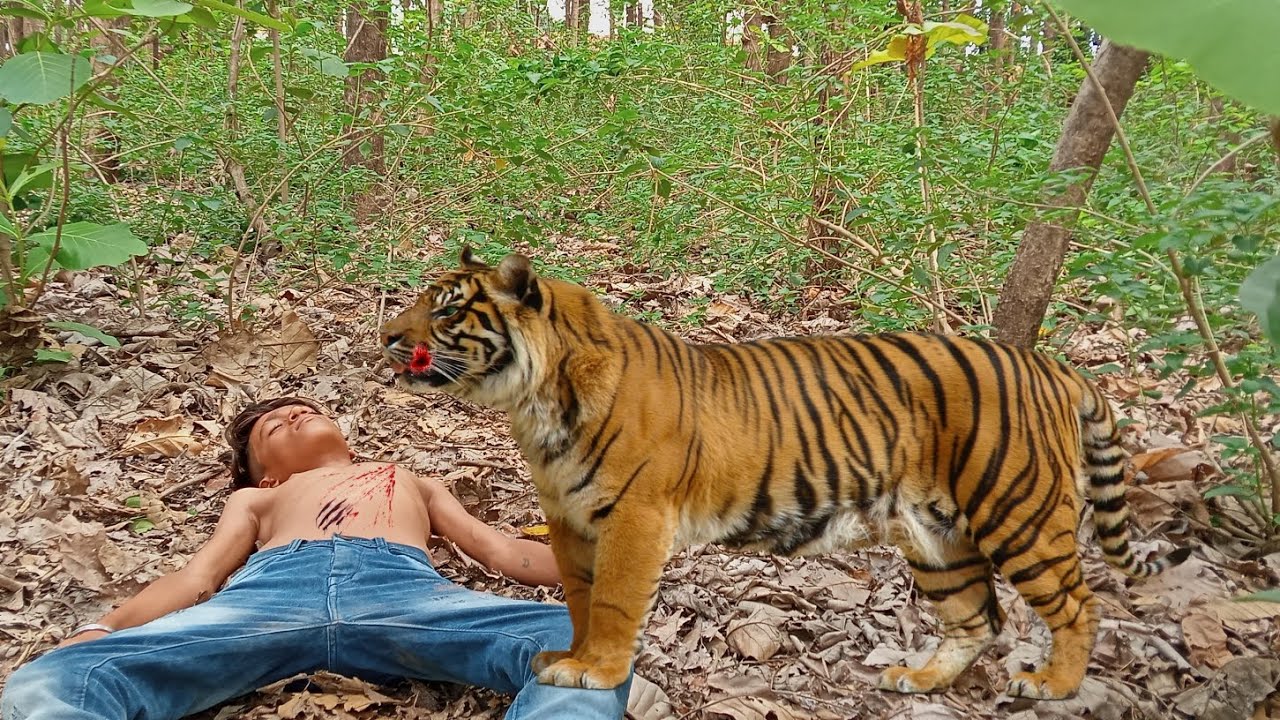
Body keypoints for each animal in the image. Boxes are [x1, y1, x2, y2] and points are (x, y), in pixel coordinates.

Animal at [380, 248, 1189, 701]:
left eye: (446, 311)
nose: (386, 336)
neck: (534, 401)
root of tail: (1053, 365)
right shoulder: (569, 519)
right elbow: (579, 599)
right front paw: (573, 657)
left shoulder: (635, 517)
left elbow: (611, 602)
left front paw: (596, 672)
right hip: (936, 537)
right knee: (978, 617)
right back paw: (919, 681)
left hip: (1017, 513)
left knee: (1079, 605)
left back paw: (1053, 684)